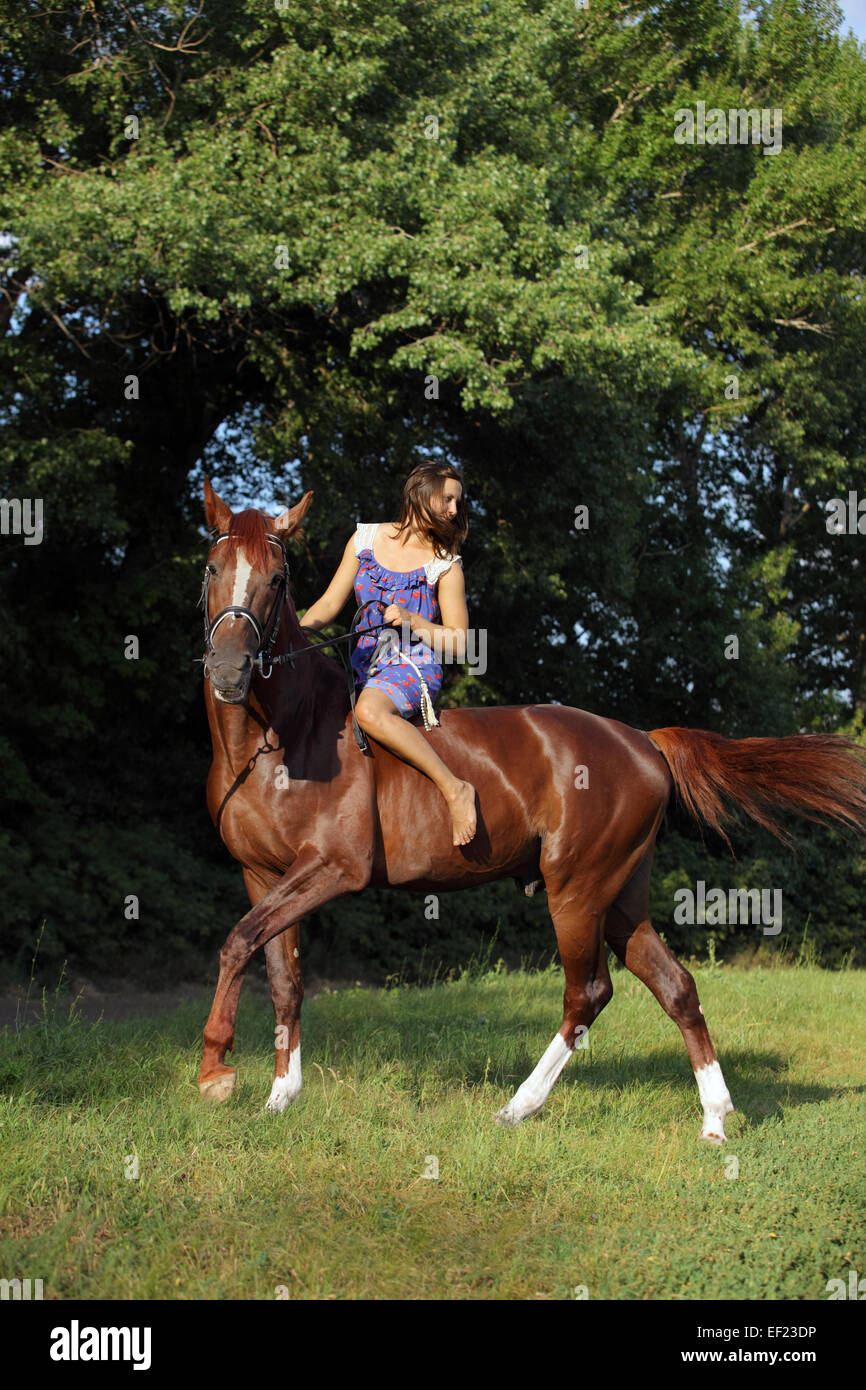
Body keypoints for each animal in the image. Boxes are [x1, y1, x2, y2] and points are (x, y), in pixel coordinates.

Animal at [197, 479, 866, 1142]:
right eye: (212, 568)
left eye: (277, 578)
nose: (229, 669)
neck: (283, 737)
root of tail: (644, 741)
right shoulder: (263, 874)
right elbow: (282, 978)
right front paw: (279, 1098)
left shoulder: (334, 868)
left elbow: (237, 941)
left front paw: (215, 1071)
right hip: (621, 896)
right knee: (675, 985)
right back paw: (714, 1119)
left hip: (576, 888)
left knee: (587, 993)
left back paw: (519, 1106)